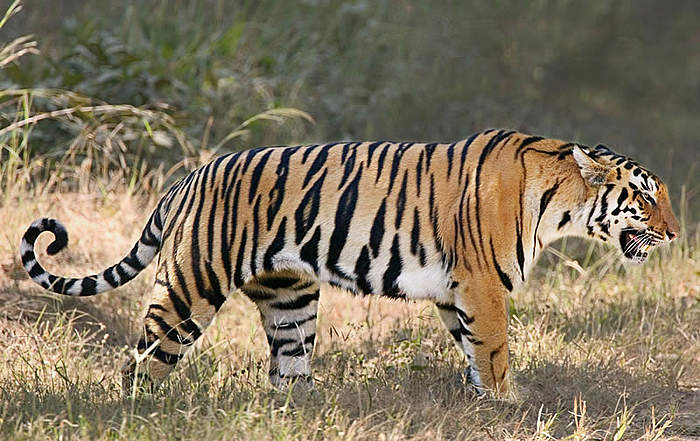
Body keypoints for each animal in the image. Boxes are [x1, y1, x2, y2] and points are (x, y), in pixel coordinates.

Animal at [19, 129, 680, 397]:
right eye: (646, 198)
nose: (675, 235)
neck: (561, 200)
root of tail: (189, 176)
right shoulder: (482, 284)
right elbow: (493, 350)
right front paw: (507, 405)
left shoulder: (457, 290)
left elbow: (472, 350)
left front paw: (483, 401)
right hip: (190, 286)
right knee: (142, 361)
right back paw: (138, 410)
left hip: (290, 297)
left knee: (286, 370)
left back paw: (304, 410)